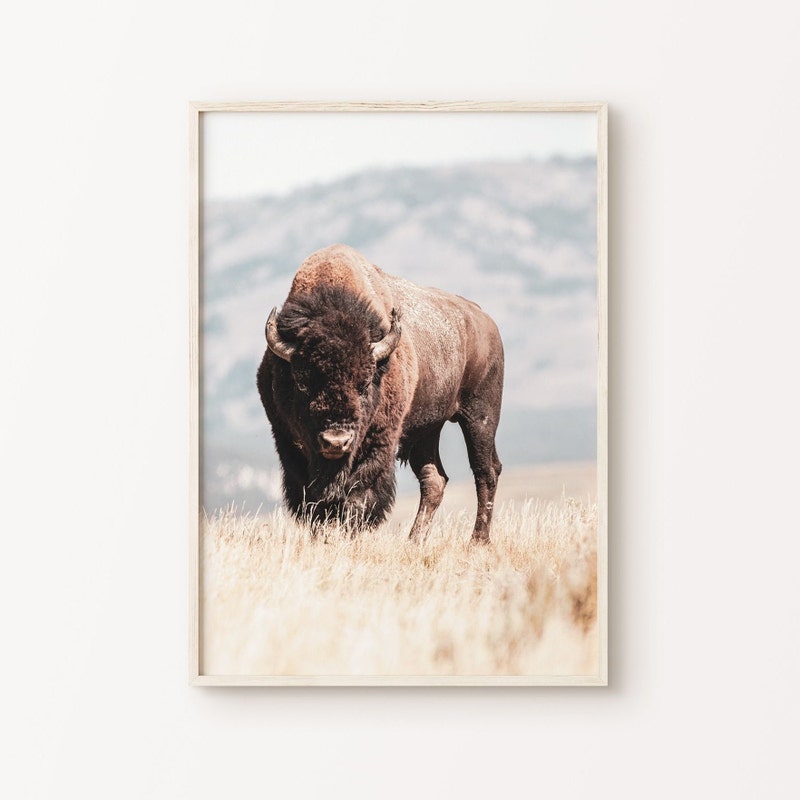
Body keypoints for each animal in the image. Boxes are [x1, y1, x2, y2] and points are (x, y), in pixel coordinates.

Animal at [256, 244, 504, 542]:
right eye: (302, 383)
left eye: (364, 384)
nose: (336, 441)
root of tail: (484, 319)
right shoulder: (287, 440)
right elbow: (312, 500)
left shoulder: (379, 441)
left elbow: (359, 494)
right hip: (427, 430)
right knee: (434, 480)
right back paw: (414, 541)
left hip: (480, 416)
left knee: (485, 471)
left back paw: (478, 540)